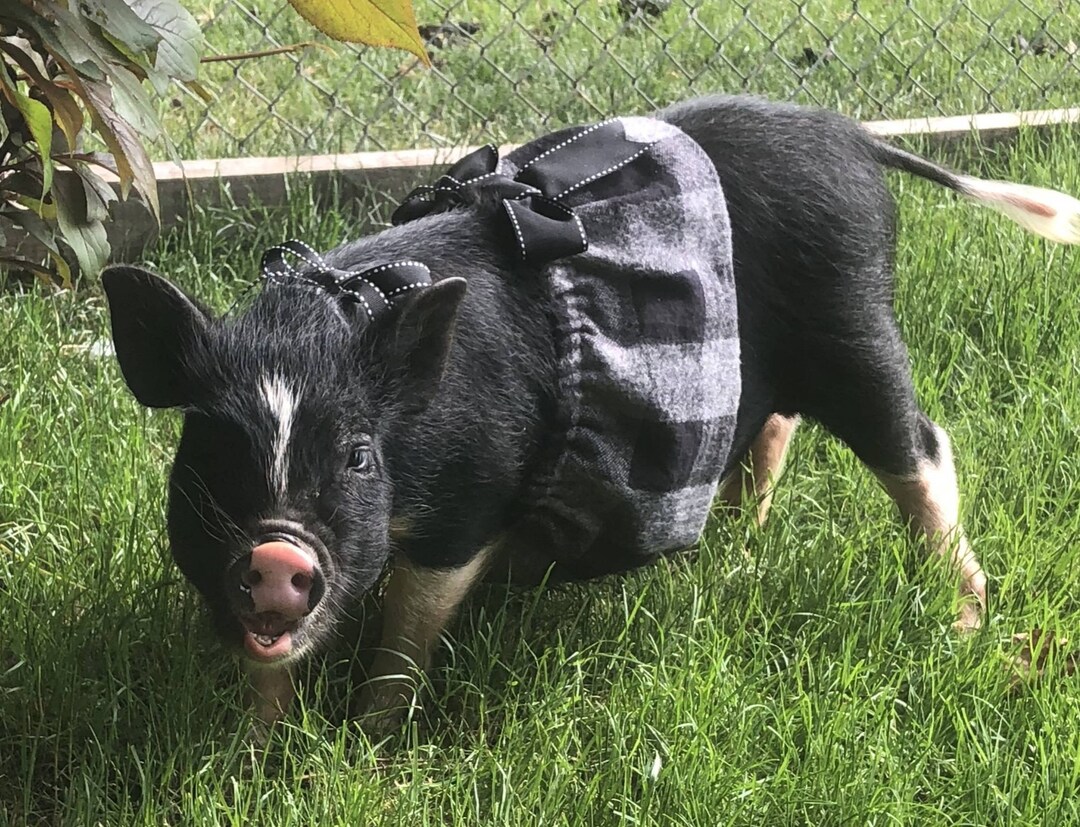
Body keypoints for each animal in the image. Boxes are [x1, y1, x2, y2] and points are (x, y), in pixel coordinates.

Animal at [102, 94, 1080, 735]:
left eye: (355, 455)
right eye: (210, 452)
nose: (275, 553)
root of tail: (850, 137)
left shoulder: (470, 504)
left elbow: (408, 630)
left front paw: (375, 739)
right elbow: (277, 665)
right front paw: (258, 745)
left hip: (854, 323)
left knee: (922, 447)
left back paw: (964, 622)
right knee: (773, 427)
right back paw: (736, 548)